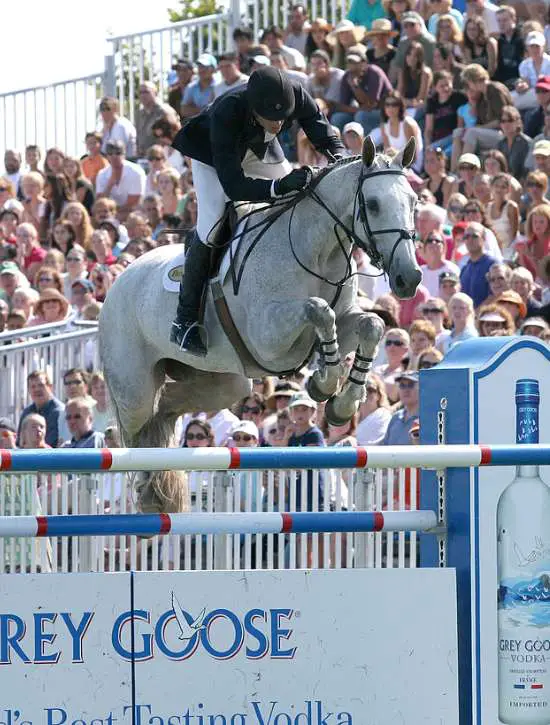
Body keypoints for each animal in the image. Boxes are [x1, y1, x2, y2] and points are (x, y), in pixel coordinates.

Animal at [99, 136, 421, 513]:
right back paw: (149, 496)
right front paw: (325, 383)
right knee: (140, 430)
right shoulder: (269, 338)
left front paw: (342, 403)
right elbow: (319, 310)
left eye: (413, 202)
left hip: (224, 384)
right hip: (134, 390)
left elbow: (371, 324)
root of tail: (116, 285)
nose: (409, 278)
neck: (318, 252)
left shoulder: (345, 320)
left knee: (164, 410)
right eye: (372, 204)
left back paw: (159, 495)